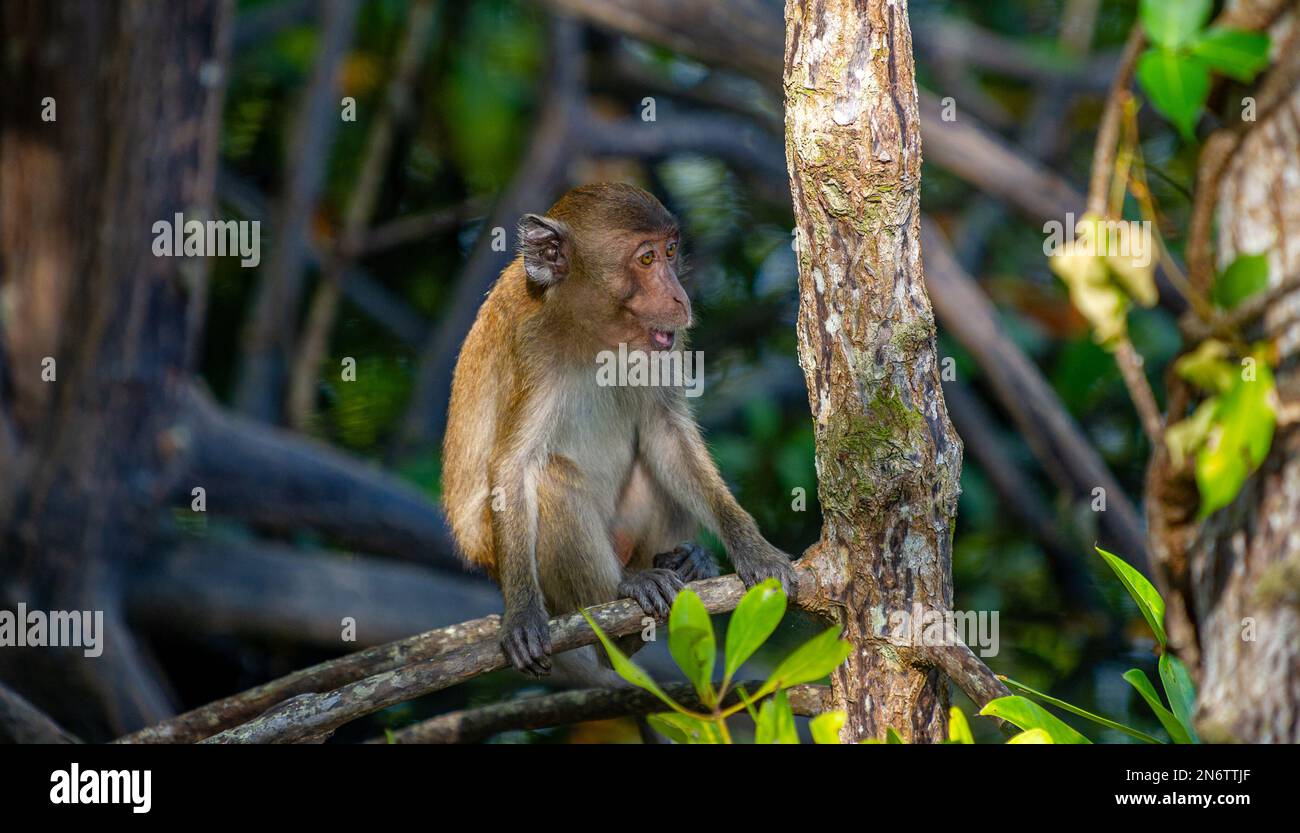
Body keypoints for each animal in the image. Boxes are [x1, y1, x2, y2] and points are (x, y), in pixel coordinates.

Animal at [442, 183, 796, 679]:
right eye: (646, 259)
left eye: (671, 251)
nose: (680, 299)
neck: (597, 334)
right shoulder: (535, 348)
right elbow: (514, 465)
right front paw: (522, 615)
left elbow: (666, 436)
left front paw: (752, 548)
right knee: (550, 476)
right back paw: (619, 595)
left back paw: (685, 565)